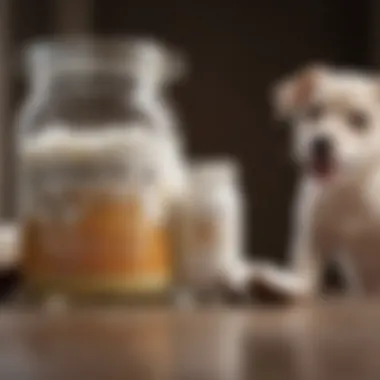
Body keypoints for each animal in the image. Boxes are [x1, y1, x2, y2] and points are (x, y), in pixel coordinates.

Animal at [227, 64, 380, 302]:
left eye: (359, 120)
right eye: (313, 113)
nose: (321, 142)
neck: (348, 190)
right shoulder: (311, 236)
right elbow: (305, 279)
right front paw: (278, 286)